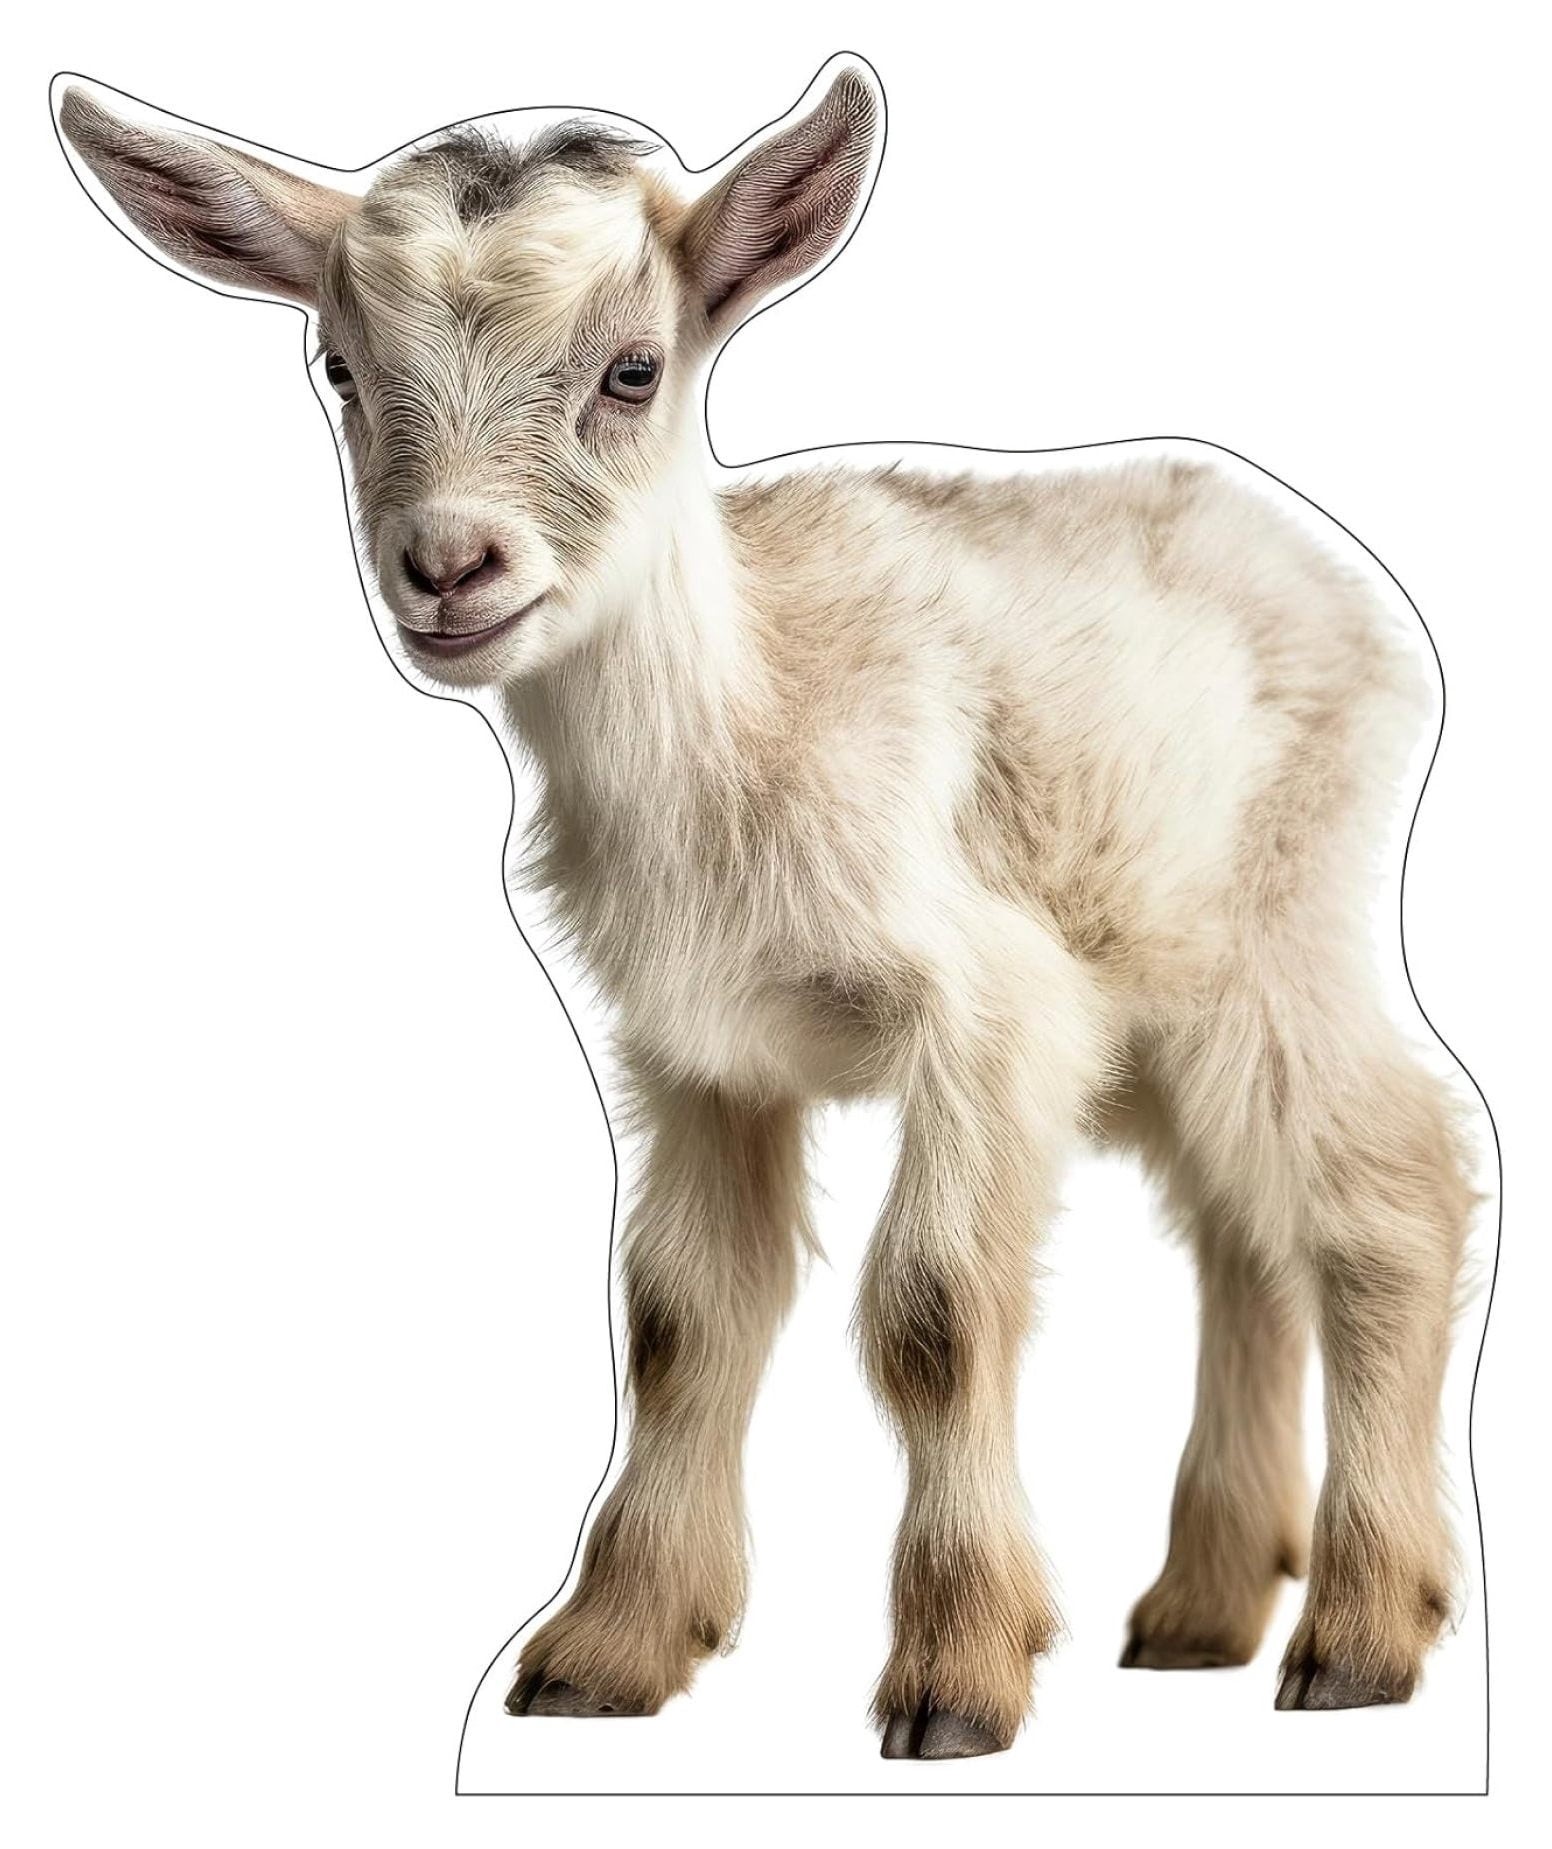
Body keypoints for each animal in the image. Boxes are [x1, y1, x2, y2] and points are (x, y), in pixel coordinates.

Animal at [58, 65, 1473, 1760]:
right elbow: (677, 1320)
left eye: (632, 368)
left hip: (1280, 926)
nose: (448, 566)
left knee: (1393, 1189)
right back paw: (1199, 1614)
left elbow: (934, 1311)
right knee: (1242, 1231)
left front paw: (956, 1680)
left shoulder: (992, 1010)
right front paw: (604, 1655)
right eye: (341, 366)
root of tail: (1347, 590)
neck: (751, 709)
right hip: (1165, 998)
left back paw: (1360, 1635)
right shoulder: (700, 1052)